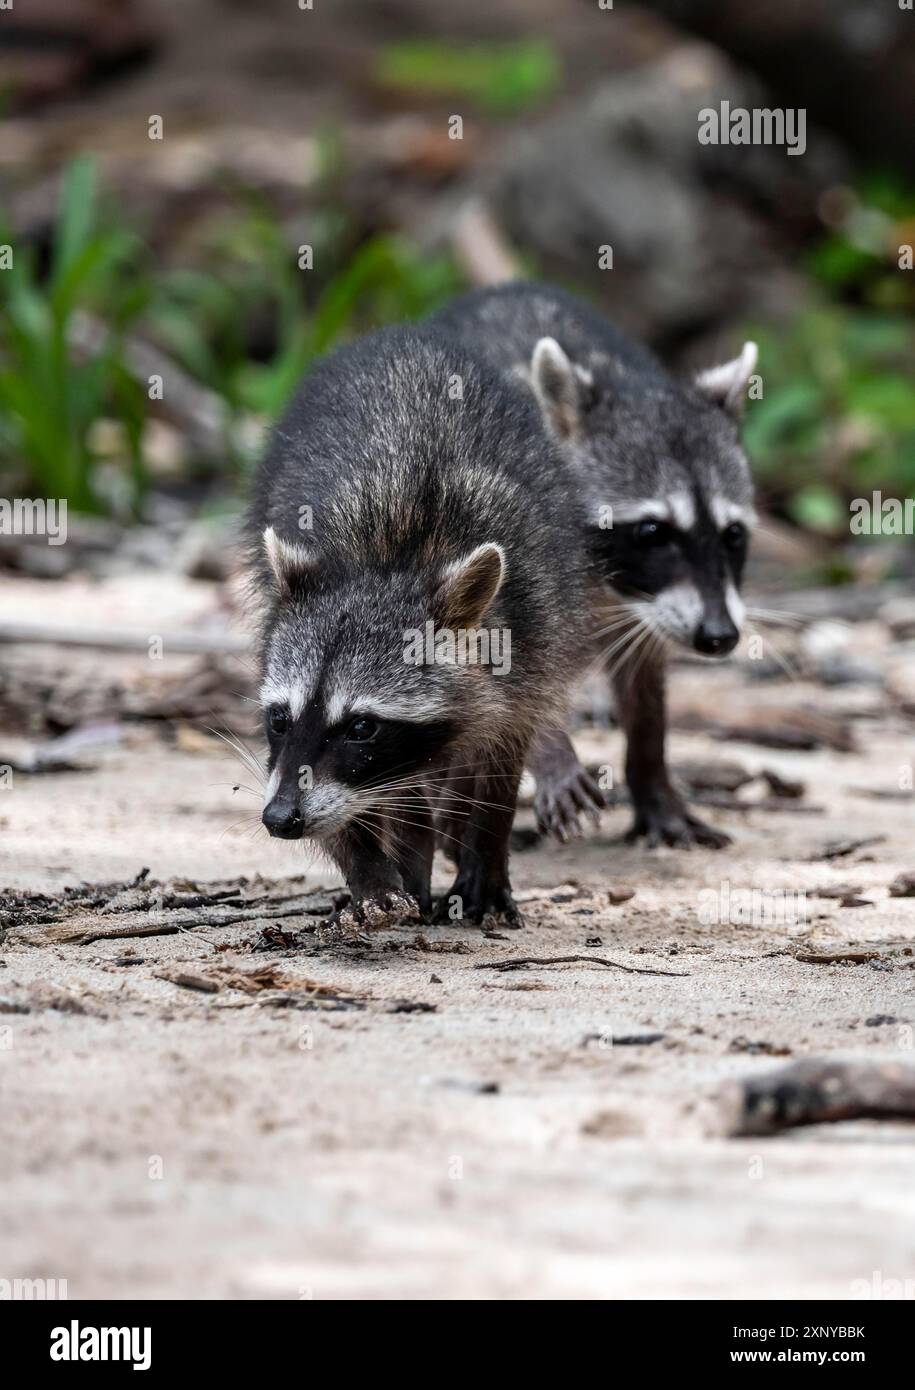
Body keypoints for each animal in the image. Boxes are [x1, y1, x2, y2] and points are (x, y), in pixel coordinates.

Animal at [246, 324, 589, 927]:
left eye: (362, 726)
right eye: (280, 719)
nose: (280, 819)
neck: (394, 558)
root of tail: (405, 338)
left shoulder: (529, 637)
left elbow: (501, 761)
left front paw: (485, 853)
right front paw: (369, 868)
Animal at [430, 282, 757, 848]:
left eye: (732, 535)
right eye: (651, 532)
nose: (719, 636)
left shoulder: (651, 609)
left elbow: (644, 687)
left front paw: (652, 778)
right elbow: (512, 671)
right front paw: (552, 754)